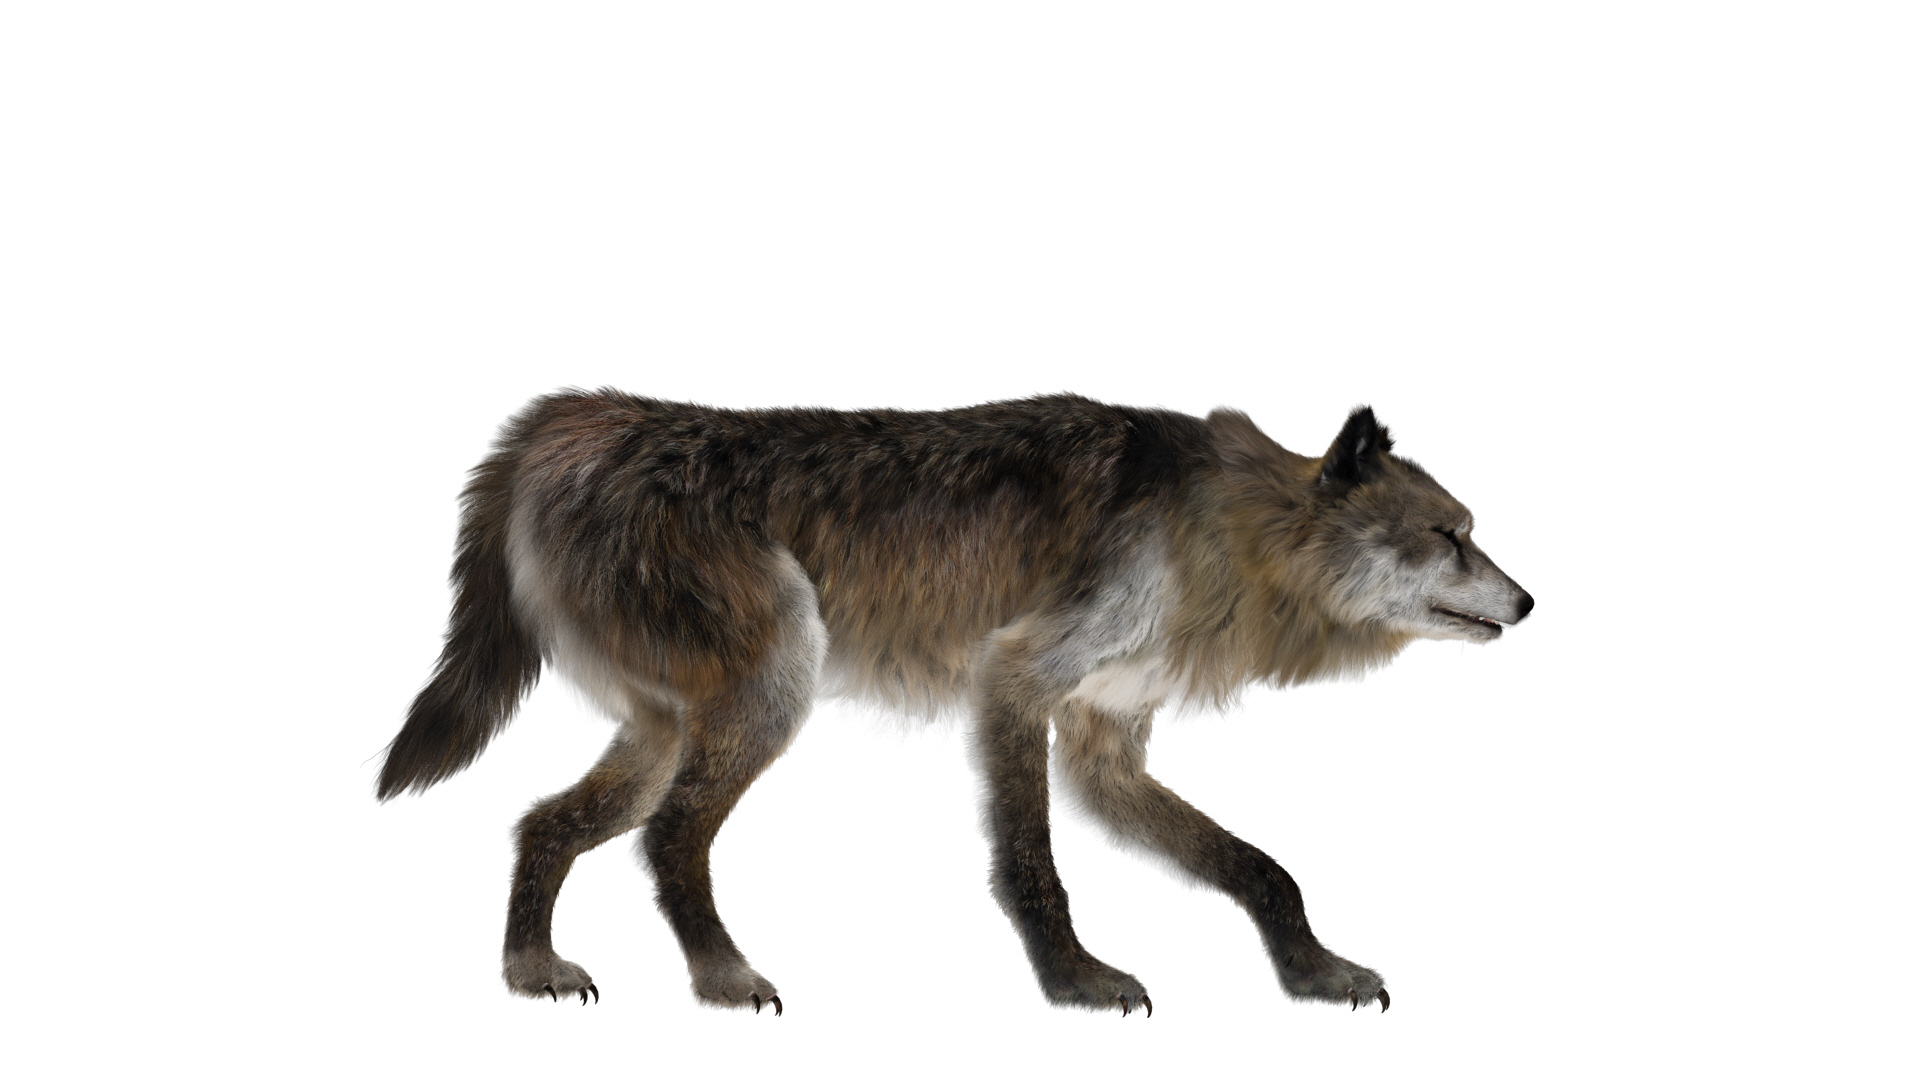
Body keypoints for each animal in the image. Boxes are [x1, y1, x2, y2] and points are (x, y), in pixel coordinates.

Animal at [377, 391, 1532, 1016]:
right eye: (1451, 537)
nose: (1528, 602)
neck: (1221, 530)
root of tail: (577, 415)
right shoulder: (1015, 681)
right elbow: (1033, 870)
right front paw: (1073, 983)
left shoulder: (1107, 751)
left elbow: (1264, 871)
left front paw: (1314, 973)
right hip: (776, 686)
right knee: (667, 839)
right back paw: (721, 977)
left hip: (671, 729)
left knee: (545, 824)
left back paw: (530, 967)